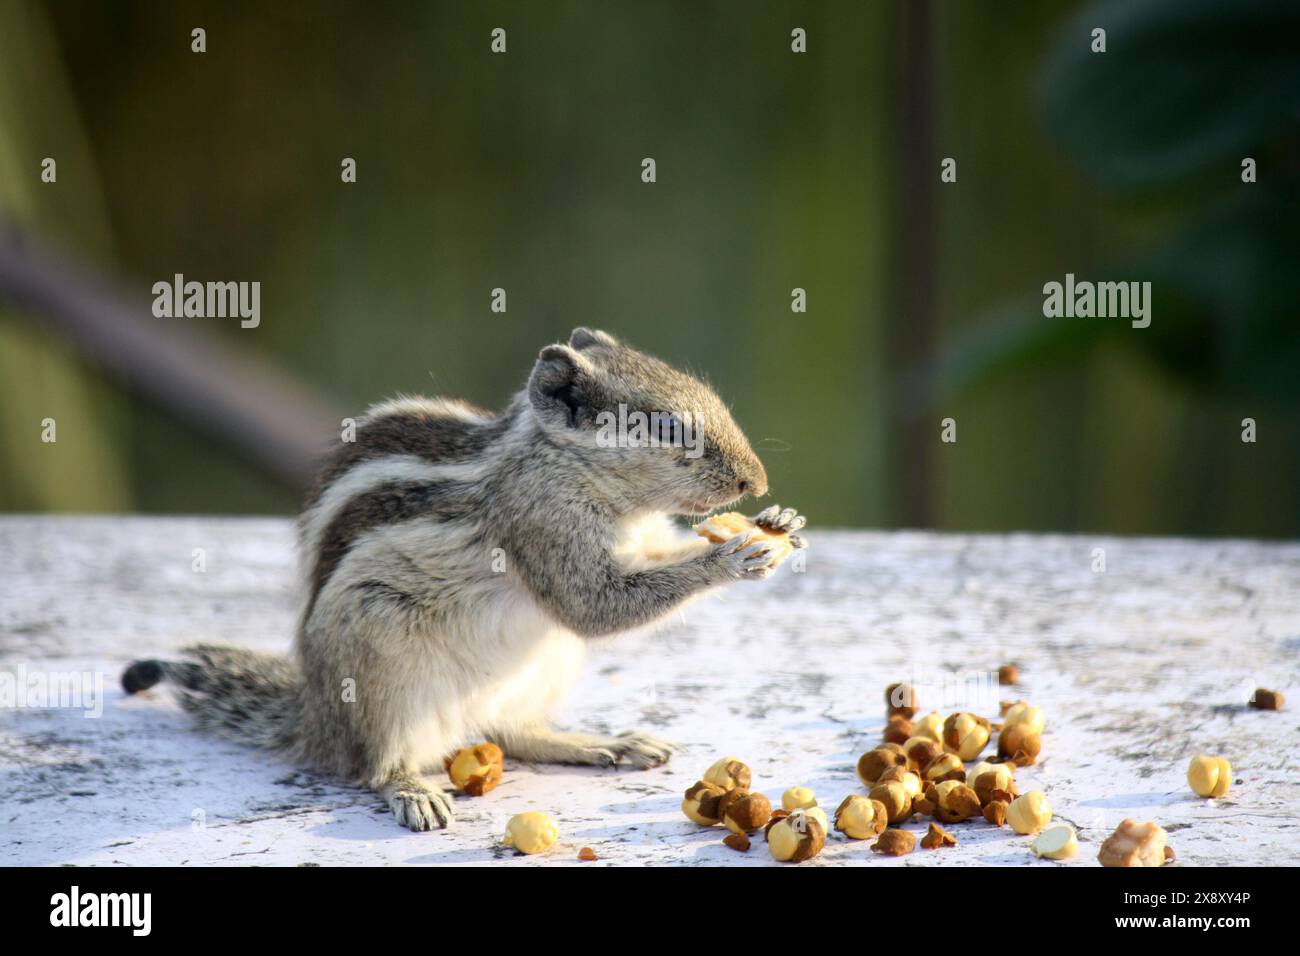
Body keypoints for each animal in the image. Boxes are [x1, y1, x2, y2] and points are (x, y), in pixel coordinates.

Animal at [122, 328, 806, 830]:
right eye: (666, 428)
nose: (757, 480)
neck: (566, 468)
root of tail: (316, 718)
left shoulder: (641, 537)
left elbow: (658, 554)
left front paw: (779, 523)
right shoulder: (542, 526)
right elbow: (595, 605)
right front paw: (730, 558)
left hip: (547, 663)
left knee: (512, 731)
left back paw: (595, 742)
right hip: (378, 656)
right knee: (376, 763)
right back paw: (411, 790)